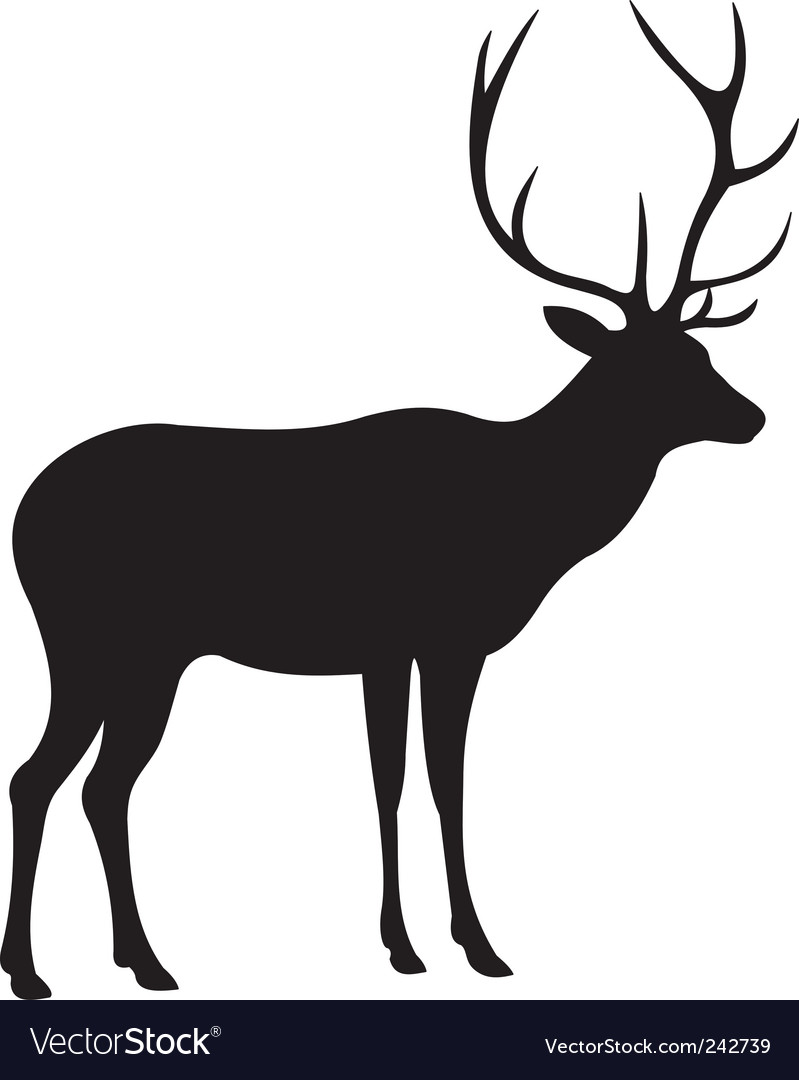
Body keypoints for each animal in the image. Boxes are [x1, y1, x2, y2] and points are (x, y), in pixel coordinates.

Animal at [2, 4, 794, 999]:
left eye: (700, 352)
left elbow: (394, 779)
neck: (527, 516)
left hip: (121, 655)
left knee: (82, 784)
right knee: (62, 780)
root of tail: (23, 515)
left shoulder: (388, 649)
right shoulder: (441, 634)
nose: (754, 416)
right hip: (109, 643)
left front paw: (409, 944)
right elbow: (434, 781)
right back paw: (64, 969)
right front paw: (468, 947)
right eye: (650, 367)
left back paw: (124, 961)